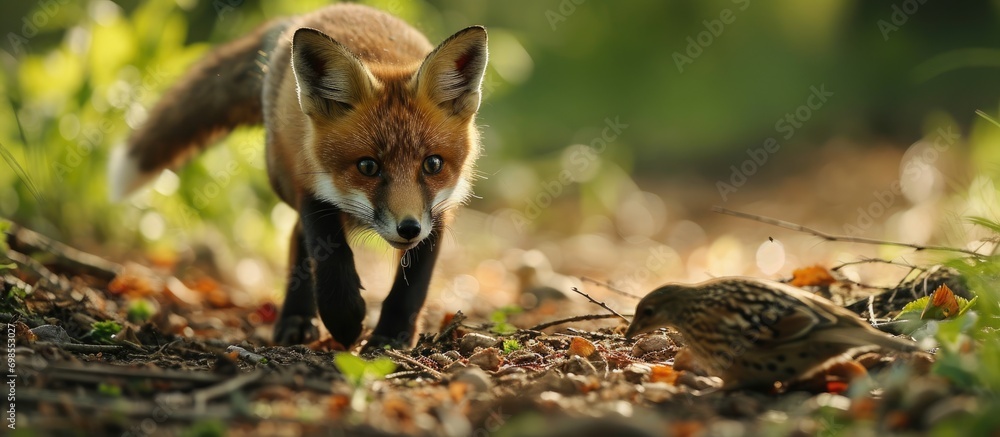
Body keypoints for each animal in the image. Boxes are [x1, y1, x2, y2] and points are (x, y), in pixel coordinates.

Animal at [108, 3, 488, 350]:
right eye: (368, 167)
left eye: (433, 164)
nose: (408, 228)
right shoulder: (310, 185)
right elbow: (326, 252)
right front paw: (344, 318)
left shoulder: (439, 210)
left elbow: (414, 282)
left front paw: (391, 334)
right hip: (281, 176)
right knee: (298, 236)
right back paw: (296, 318)